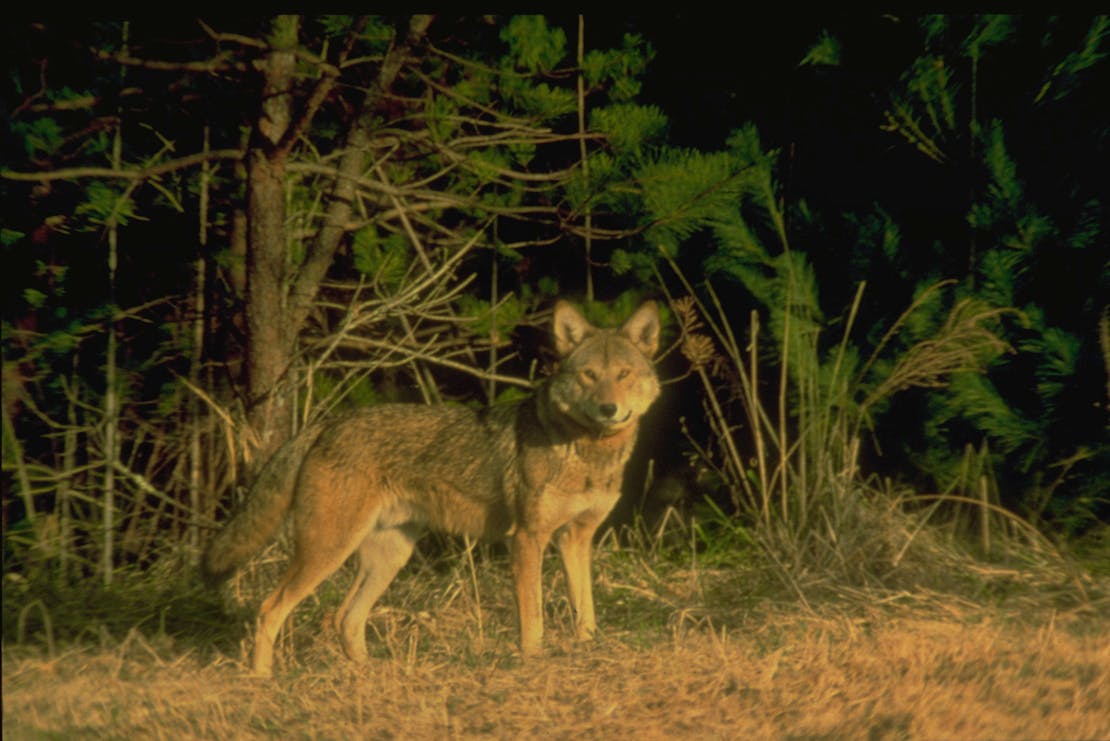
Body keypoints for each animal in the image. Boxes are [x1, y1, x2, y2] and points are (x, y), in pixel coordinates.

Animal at [203, 300, 661, 676]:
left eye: (623, 375)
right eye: (589, 376)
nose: (609, 408)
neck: (587, 453)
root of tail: (327, 423)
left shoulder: (576, 538)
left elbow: (585, 609)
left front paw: (589, 650)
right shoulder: (528, 538)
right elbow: (533, 615)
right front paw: (534, 660)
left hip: (388, 557)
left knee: (344, 618)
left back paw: (371, 673)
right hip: (327, 551)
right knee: (271, 610)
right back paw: (261, 680)